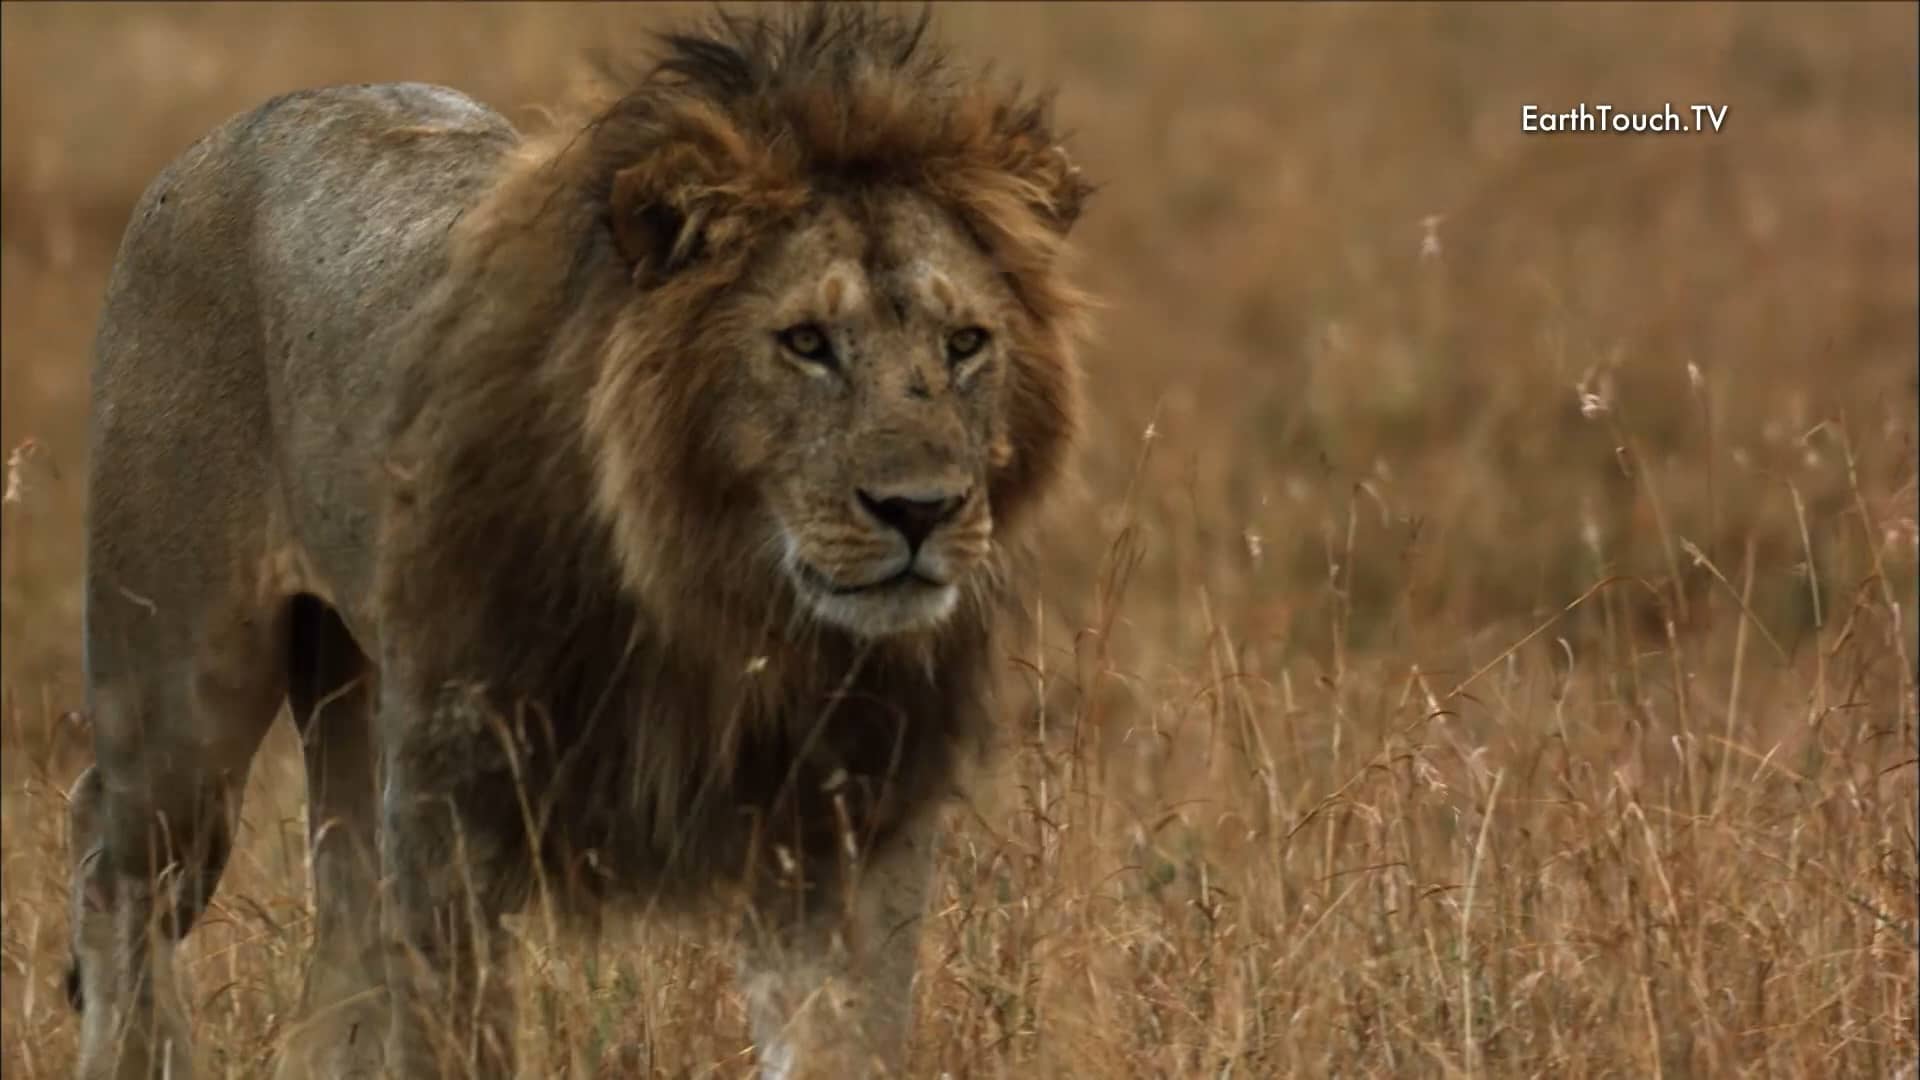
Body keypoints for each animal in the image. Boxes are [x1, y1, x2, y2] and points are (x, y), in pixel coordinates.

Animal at [64, 5, 1093, 1078]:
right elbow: (454, 1034)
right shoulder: (452, 793)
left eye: (965, 344)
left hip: (354, 689)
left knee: (340, 938)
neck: (722, 602)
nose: (921, 510)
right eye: (806, 341)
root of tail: (225, 135)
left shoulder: (856, 820)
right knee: (110, 850)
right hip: (185, 694)